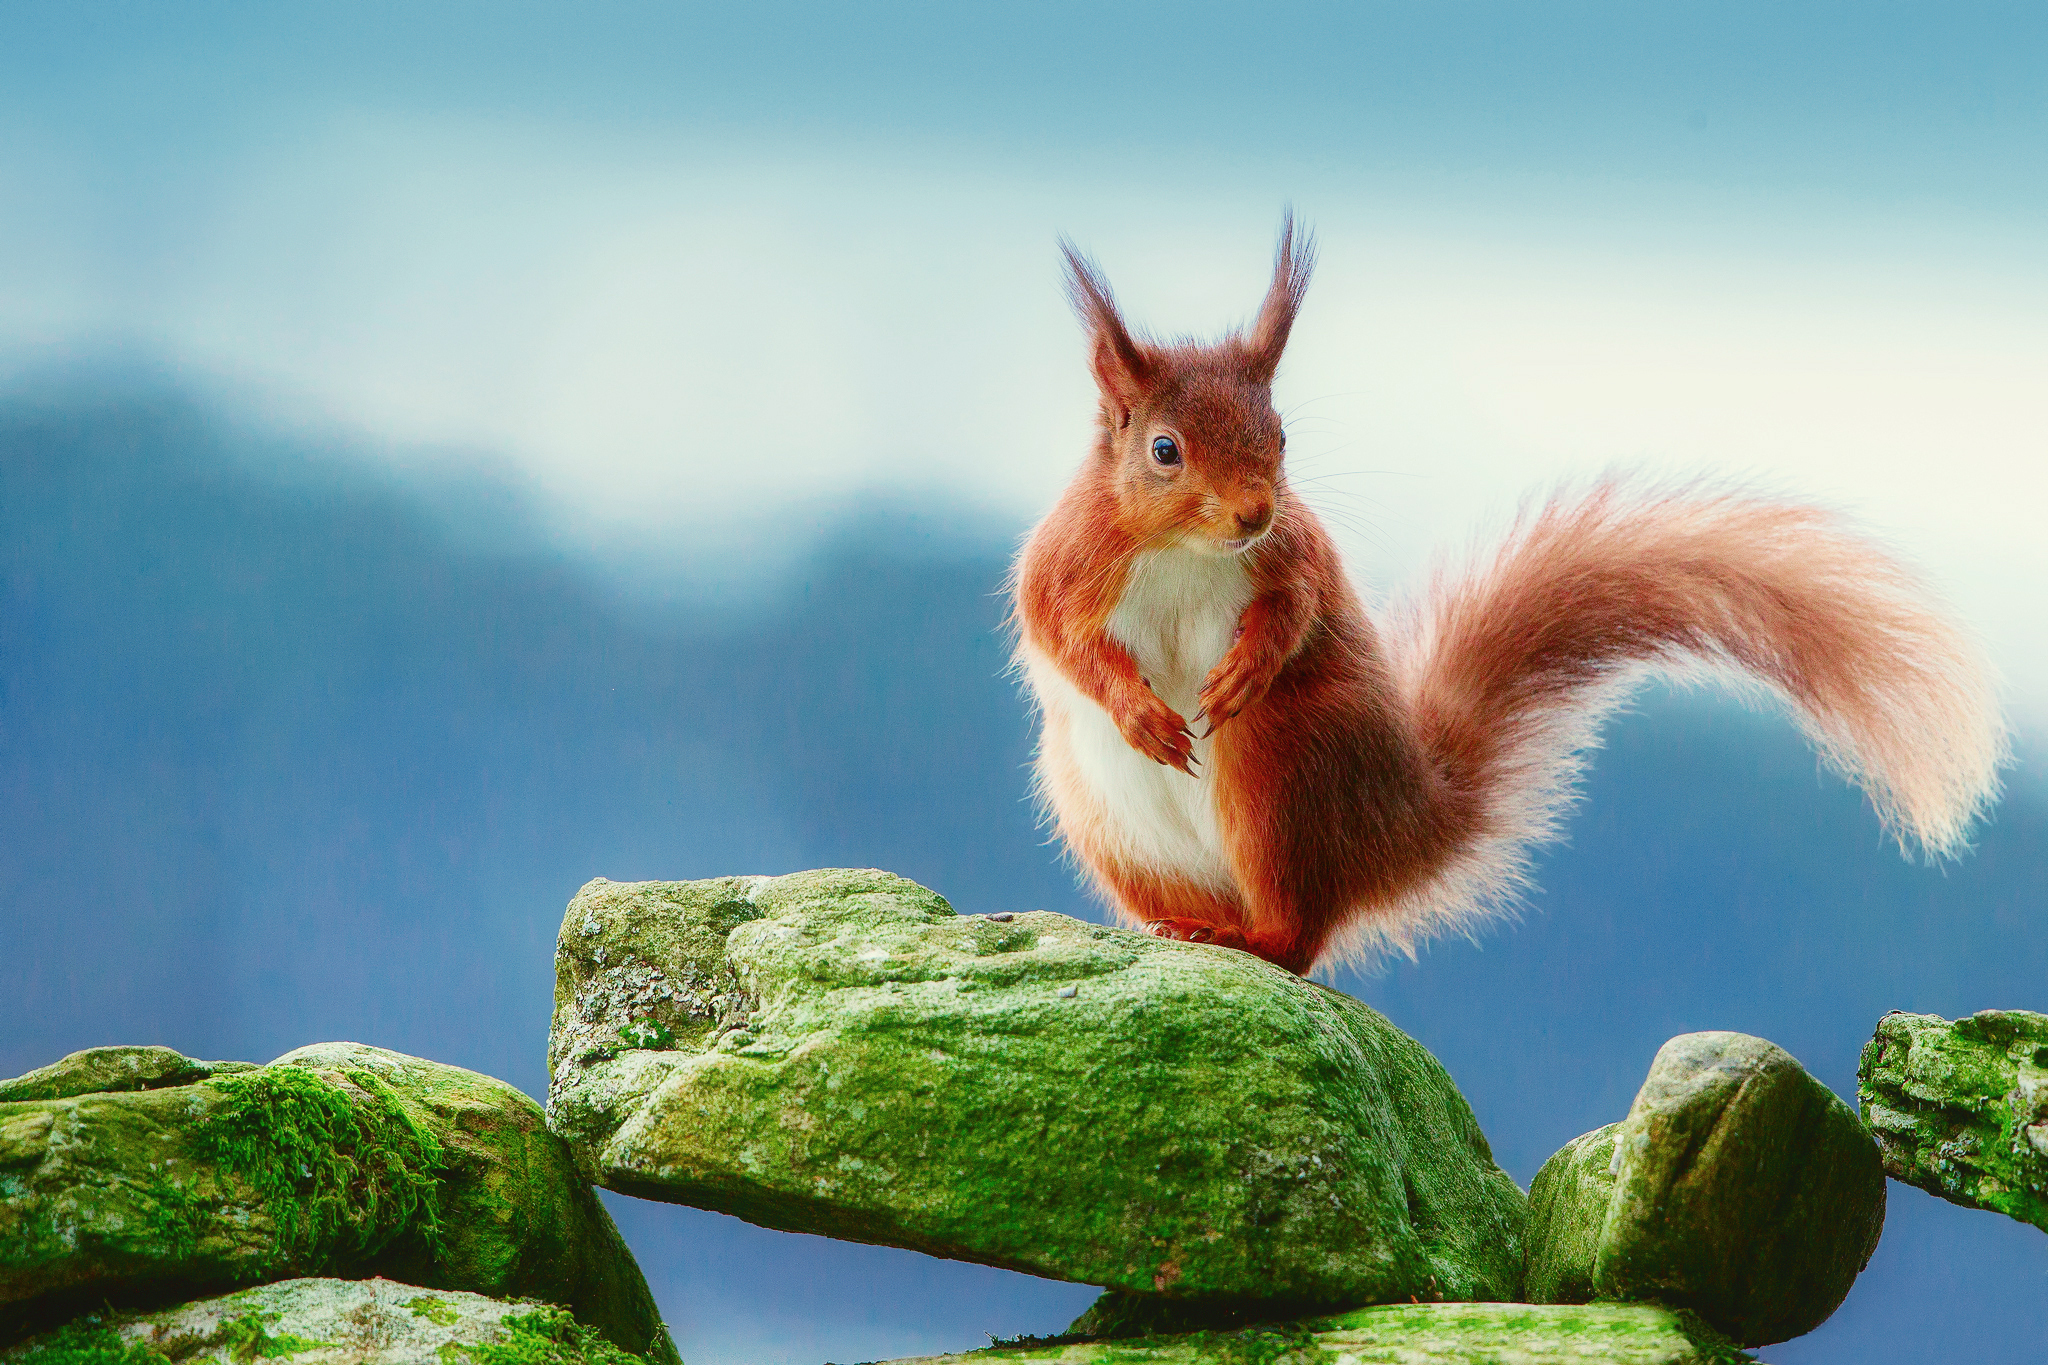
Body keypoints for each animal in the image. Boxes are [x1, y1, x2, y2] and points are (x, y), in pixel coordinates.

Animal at [1012, 213, 2008, 976]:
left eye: (1281, 435)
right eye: (1164, 449)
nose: (1255, 510)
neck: (1186, 549)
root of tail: (1403, 823)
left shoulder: (1297, 556)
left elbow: (1296, 613)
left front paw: (1244, 667)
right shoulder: (1070, 562)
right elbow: (1058, 634)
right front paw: (1139, 710)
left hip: (1283, 769)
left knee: (1300, 935)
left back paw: (1249, 934)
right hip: (1104, 815)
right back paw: (1187, 925)